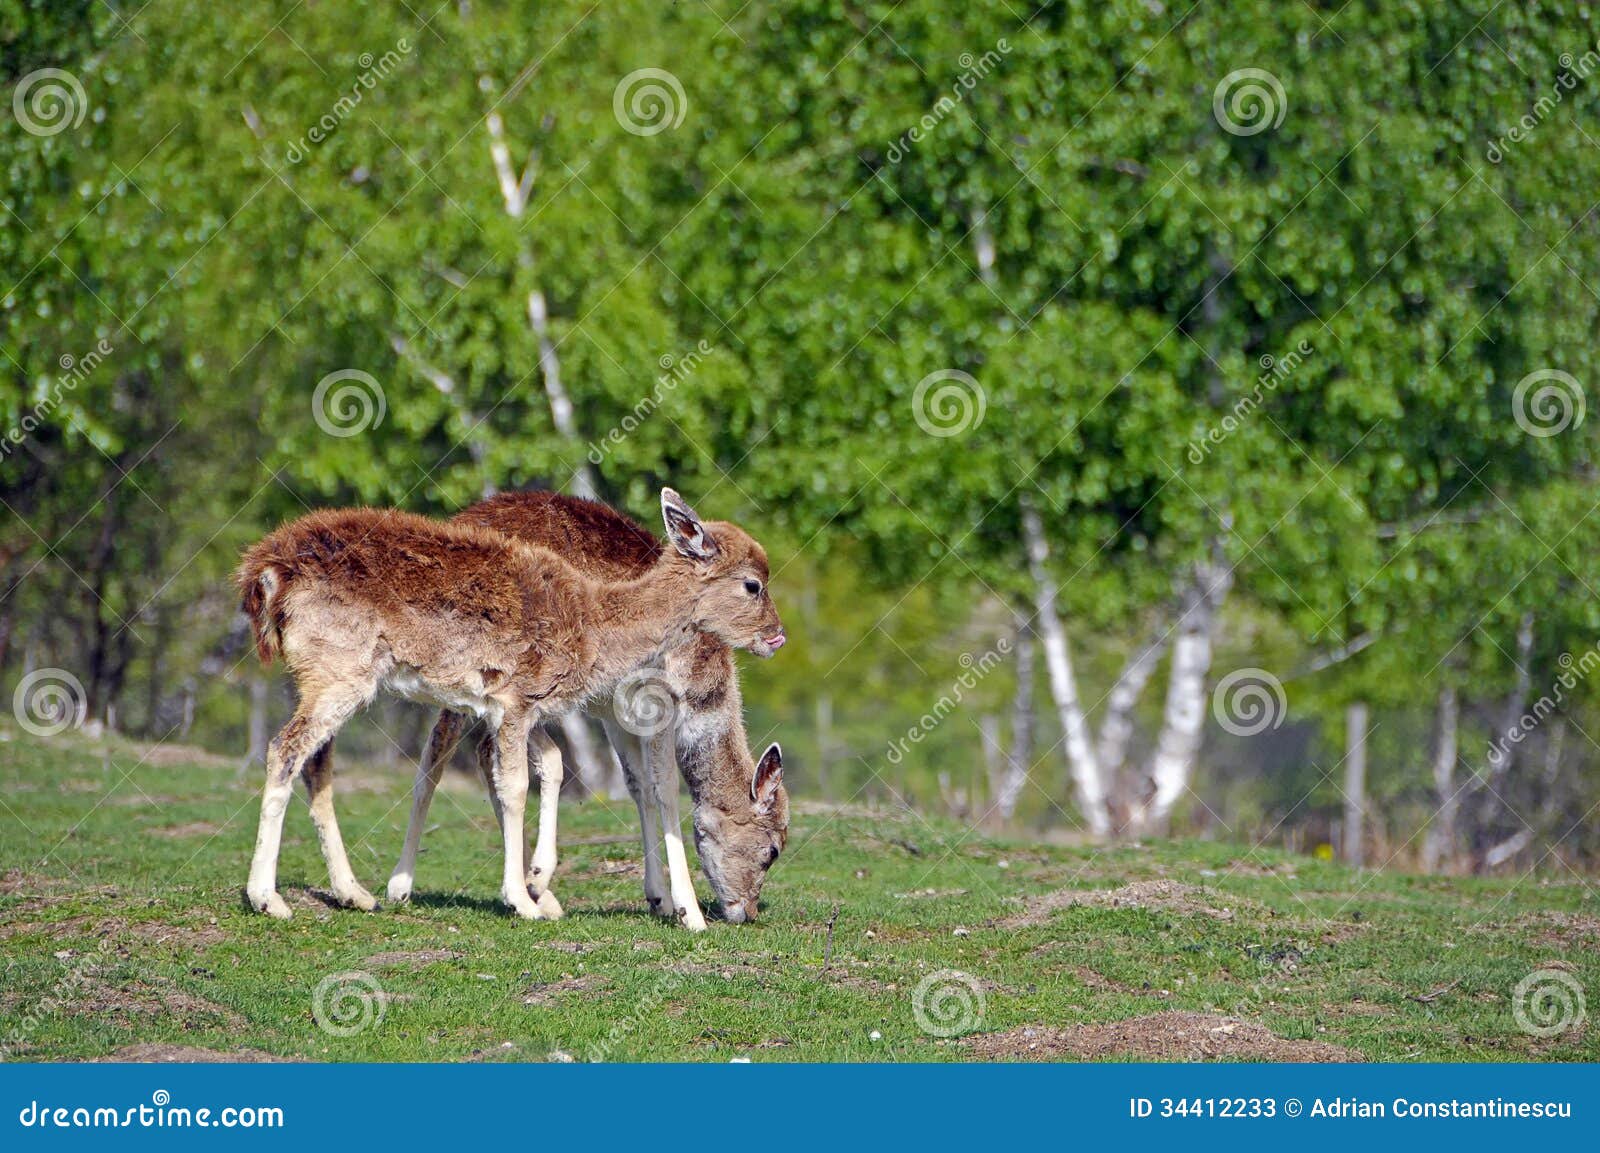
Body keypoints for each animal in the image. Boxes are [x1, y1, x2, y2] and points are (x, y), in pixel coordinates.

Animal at [234, 489, 784, 922]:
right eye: (753, 583)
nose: (776, 636)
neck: (594, 624)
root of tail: (263, 574)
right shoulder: (522, 697)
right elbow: (525, 785)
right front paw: (525, 899)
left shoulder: (521, 707)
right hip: (339, 670)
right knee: (286, 748)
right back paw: (269, 898)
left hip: (319, 676)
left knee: (317, 761)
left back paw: (355, 893)